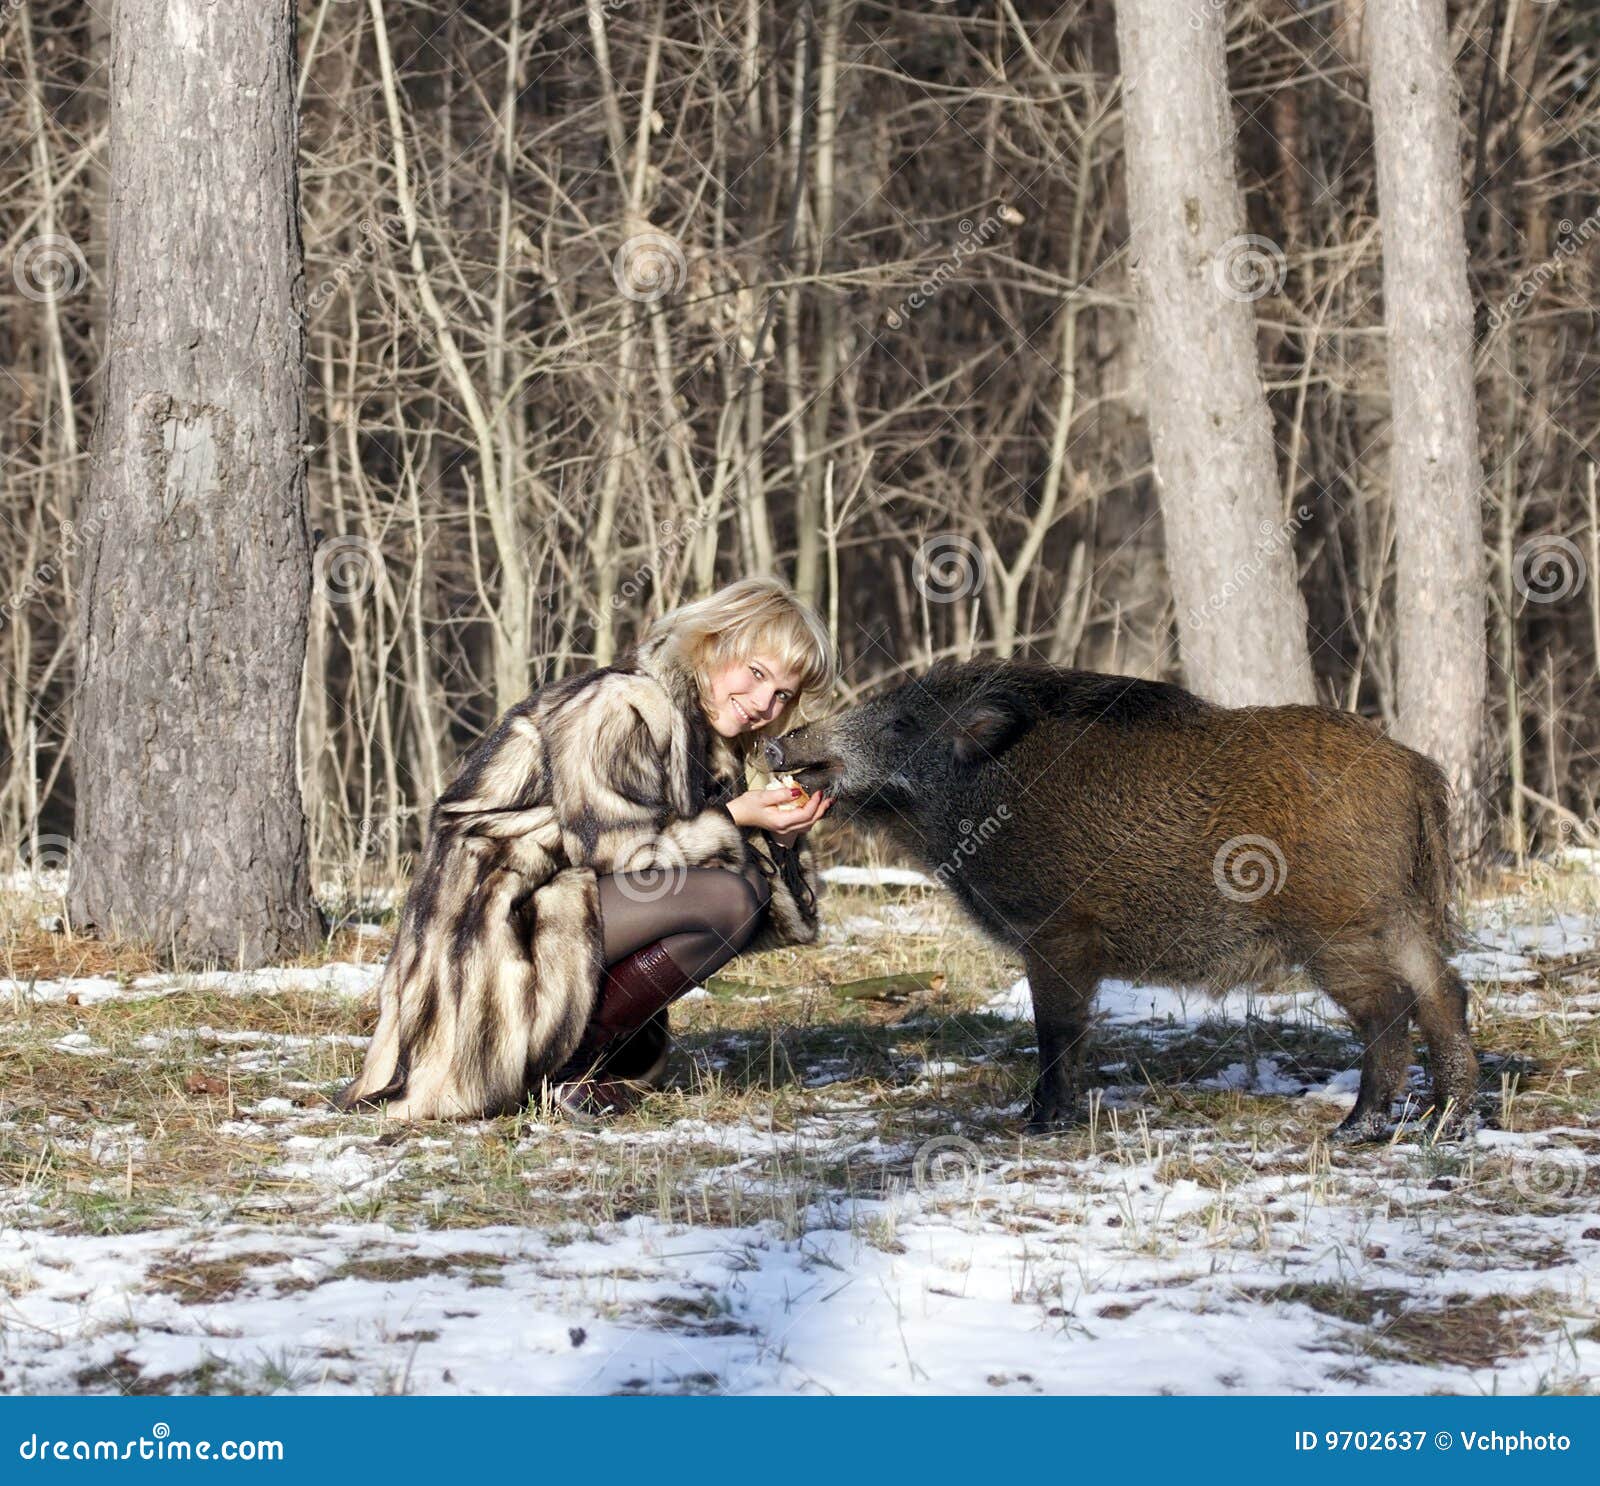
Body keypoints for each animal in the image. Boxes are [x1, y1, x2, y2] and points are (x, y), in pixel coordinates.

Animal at [766, 659, 1477, 1142]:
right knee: (1444, 992)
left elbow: (1056, 1028)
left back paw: (1354, 1130)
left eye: (901, 723)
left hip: (1339, 928)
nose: (778, 743)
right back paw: (1447, 1123)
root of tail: (1416, 771)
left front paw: (1038, 1123)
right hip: (1398, 916)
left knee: (1391, 1007)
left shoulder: (1057, 932)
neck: (983, 792)